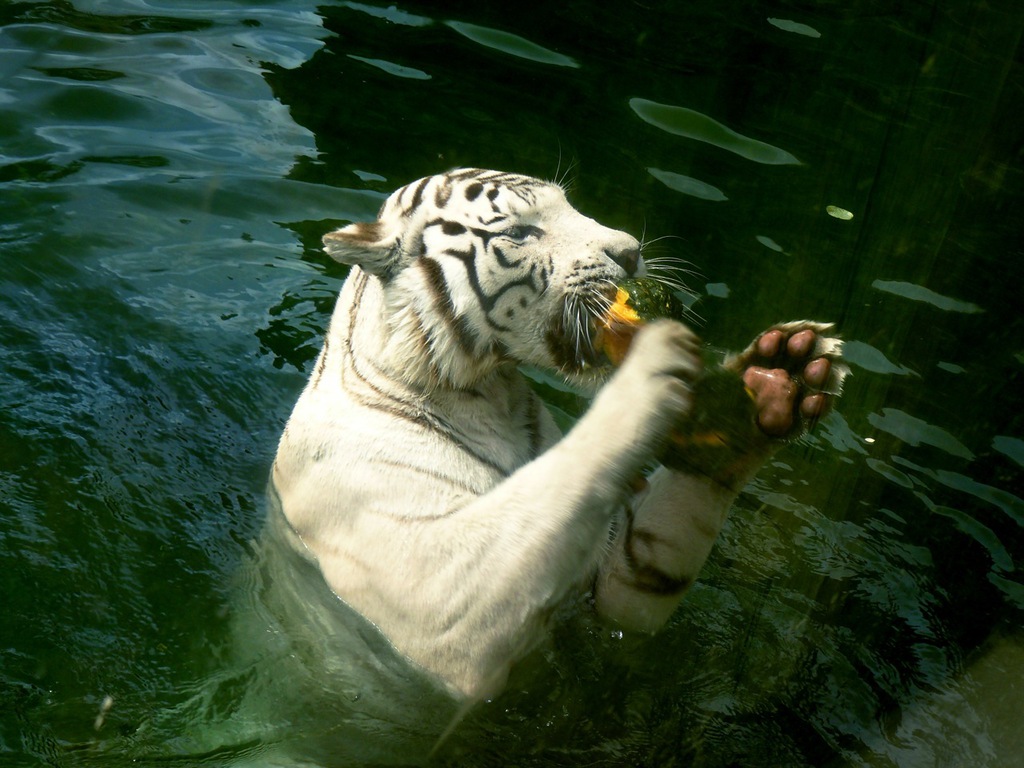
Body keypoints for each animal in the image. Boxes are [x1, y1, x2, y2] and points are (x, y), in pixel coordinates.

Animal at [271, 167, 848, 702]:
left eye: (569, 205)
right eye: (521, 231)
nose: (631, 253)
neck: (490, 394)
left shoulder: (617, 591)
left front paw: (776, 377)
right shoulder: (433, 595)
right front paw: (653, 359)